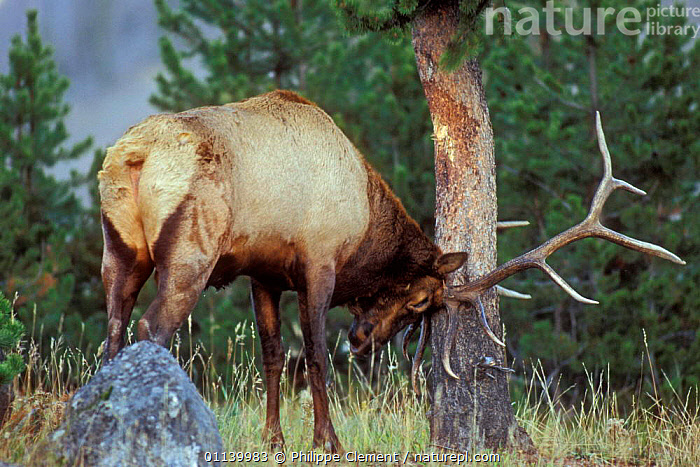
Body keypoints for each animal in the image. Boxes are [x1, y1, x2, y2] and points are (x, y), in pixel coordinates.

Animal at [98, 90, 684, 453]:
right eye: (422, 300)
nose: (363, 340)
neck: (362, 229)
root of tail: (132, 155)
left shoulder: (262, 274)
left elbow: (272, 356)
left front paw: (275, 441)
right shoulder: (318, 262)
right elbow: (314, 356)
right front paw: (327, 440)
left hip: (120, 252)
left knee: (114, 331)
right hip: (190, 251)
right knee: (152, 328)